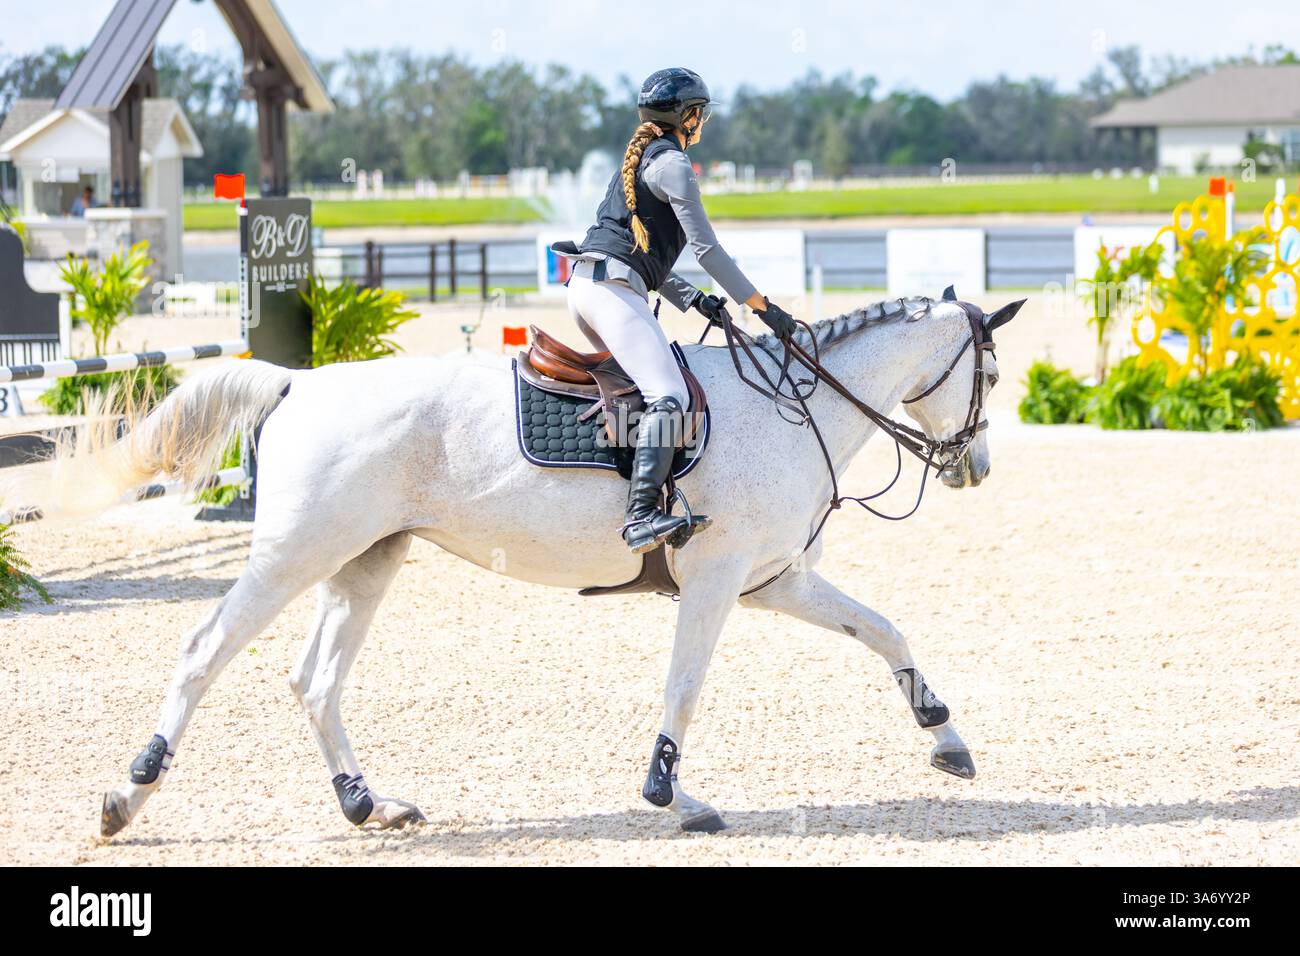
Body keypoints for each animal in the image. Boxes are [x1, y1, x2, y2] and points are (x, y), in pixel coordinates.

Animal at [51, 293, 1022, 836]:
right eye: (992, 376)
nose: (972, 469)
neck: (795, 405)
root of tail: (301, 380)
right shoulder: (715, 581)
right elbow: (684, 687)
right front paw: (672, 795)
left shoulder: (772, 579)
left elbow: (882, 629)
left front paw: (945, 735)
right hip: (296, 554)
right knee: (204, 653)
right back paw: (126, 797)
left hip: (365, 560)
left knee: (314, 682)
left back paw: (368, 805)